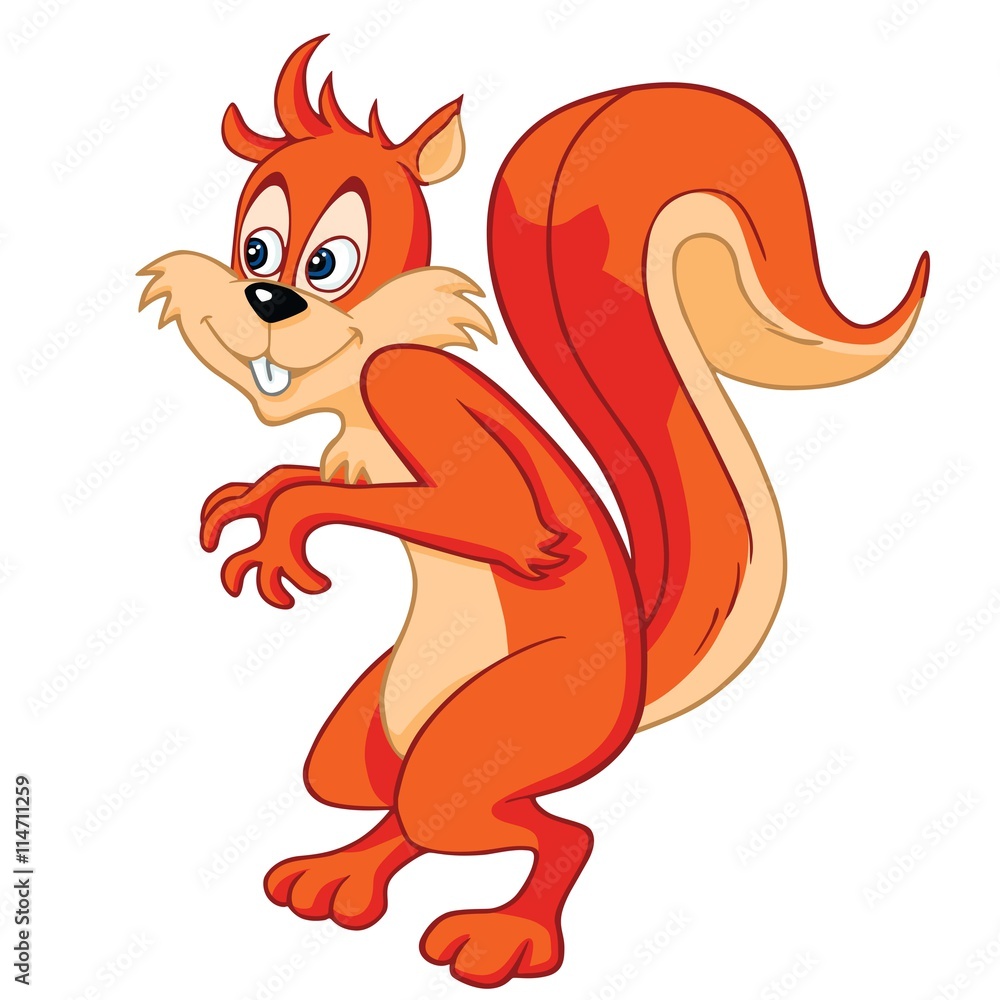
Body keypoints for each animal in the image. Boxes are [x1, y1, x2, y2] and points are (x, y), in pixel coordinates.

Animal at [138, 36, 928, 988]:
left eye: (326, 263)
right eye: (255, 249)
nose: (266, 300)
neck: (367, 357)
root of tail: (634, 686)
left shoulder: (409, 389)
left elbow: (482, 514)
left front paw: (288, 518)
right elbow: (317, 471)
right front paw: (255, 497)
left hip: (511, 723)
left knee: (539, 826)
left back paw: (505, 936)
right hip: (369, 737)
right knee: (385, 802)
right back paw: (343, 876)